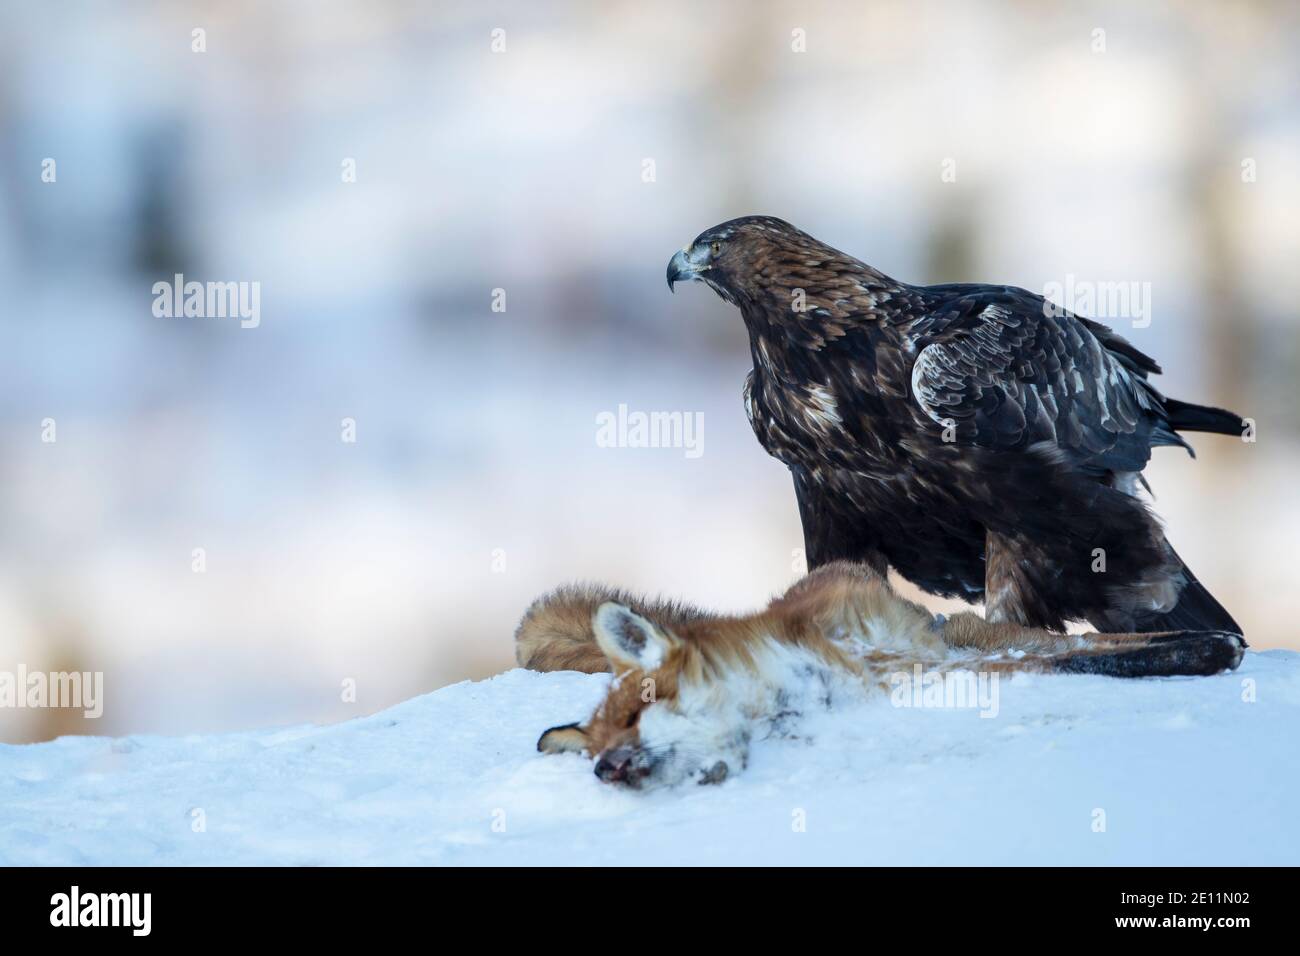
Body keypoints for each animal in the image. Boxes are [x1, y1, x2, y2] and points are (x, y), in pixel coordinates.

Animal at [517, 561, 1245, 789]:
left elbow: (1101, 649)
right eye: (600, 747)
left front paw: (1211, 645)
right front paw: (1203, 652)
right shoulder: (934, 674)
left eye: (637, 713)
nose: (605, 769)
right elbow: (1093, 659)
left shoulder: (942, 648)